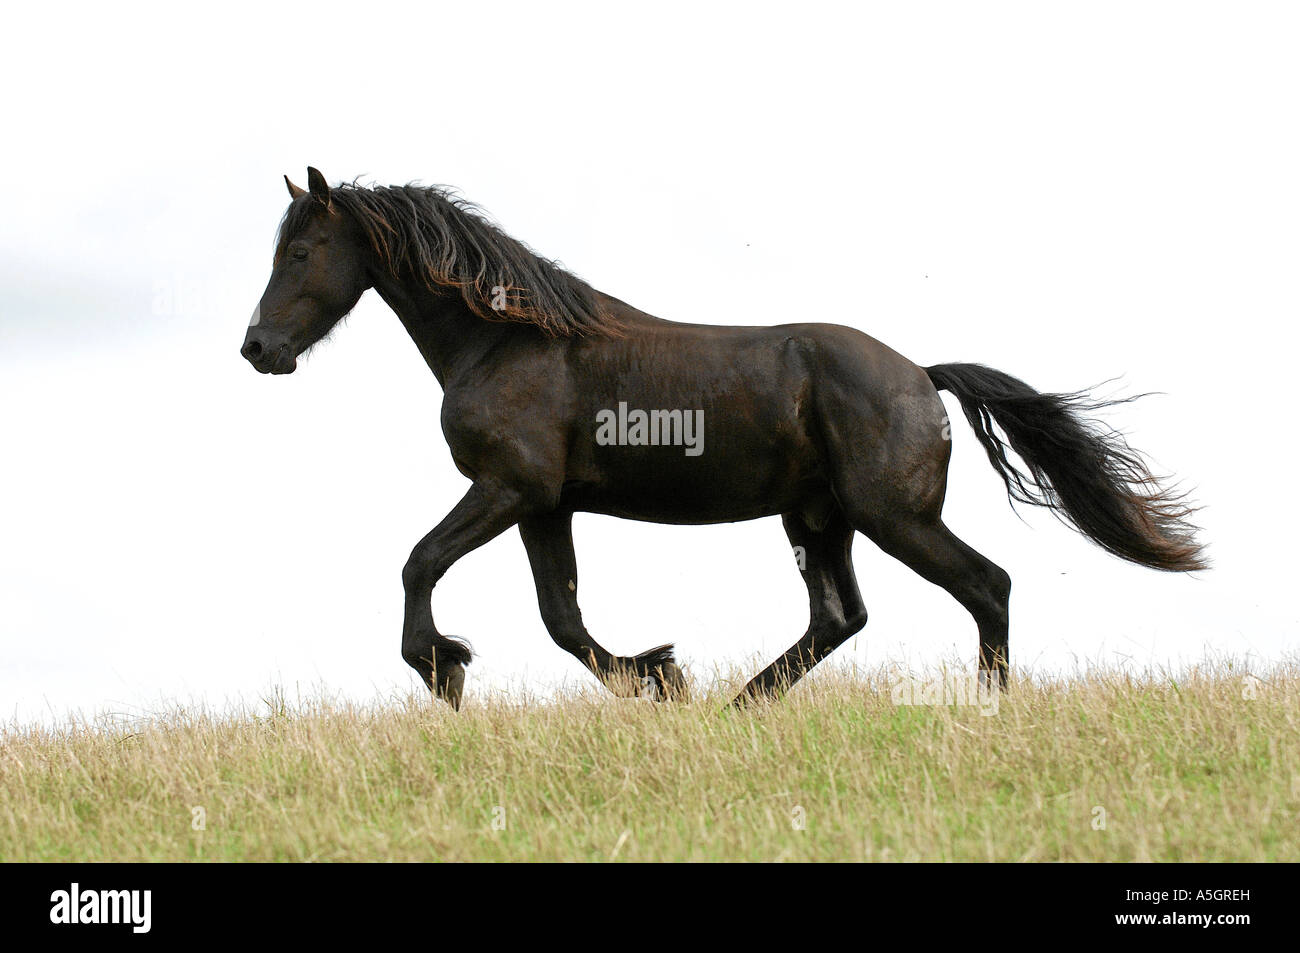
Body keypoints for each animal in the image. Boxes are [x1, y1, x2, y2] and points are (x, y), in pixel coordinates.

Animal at [240, 167, 1205, 709]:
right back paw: (739, 705)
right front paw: (659, 677)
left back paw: (987, 710)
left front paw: (444, 667)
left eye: (301, 252)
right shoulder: (545, 505)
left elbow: (421, 562)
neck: (507, 340)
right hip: (817, 519)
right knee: (838, 617)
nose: (258, 350)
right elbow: (562, 619)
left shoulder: (508, 490)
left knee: (985, 585)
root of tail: (920, 373)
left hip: (893, 517)